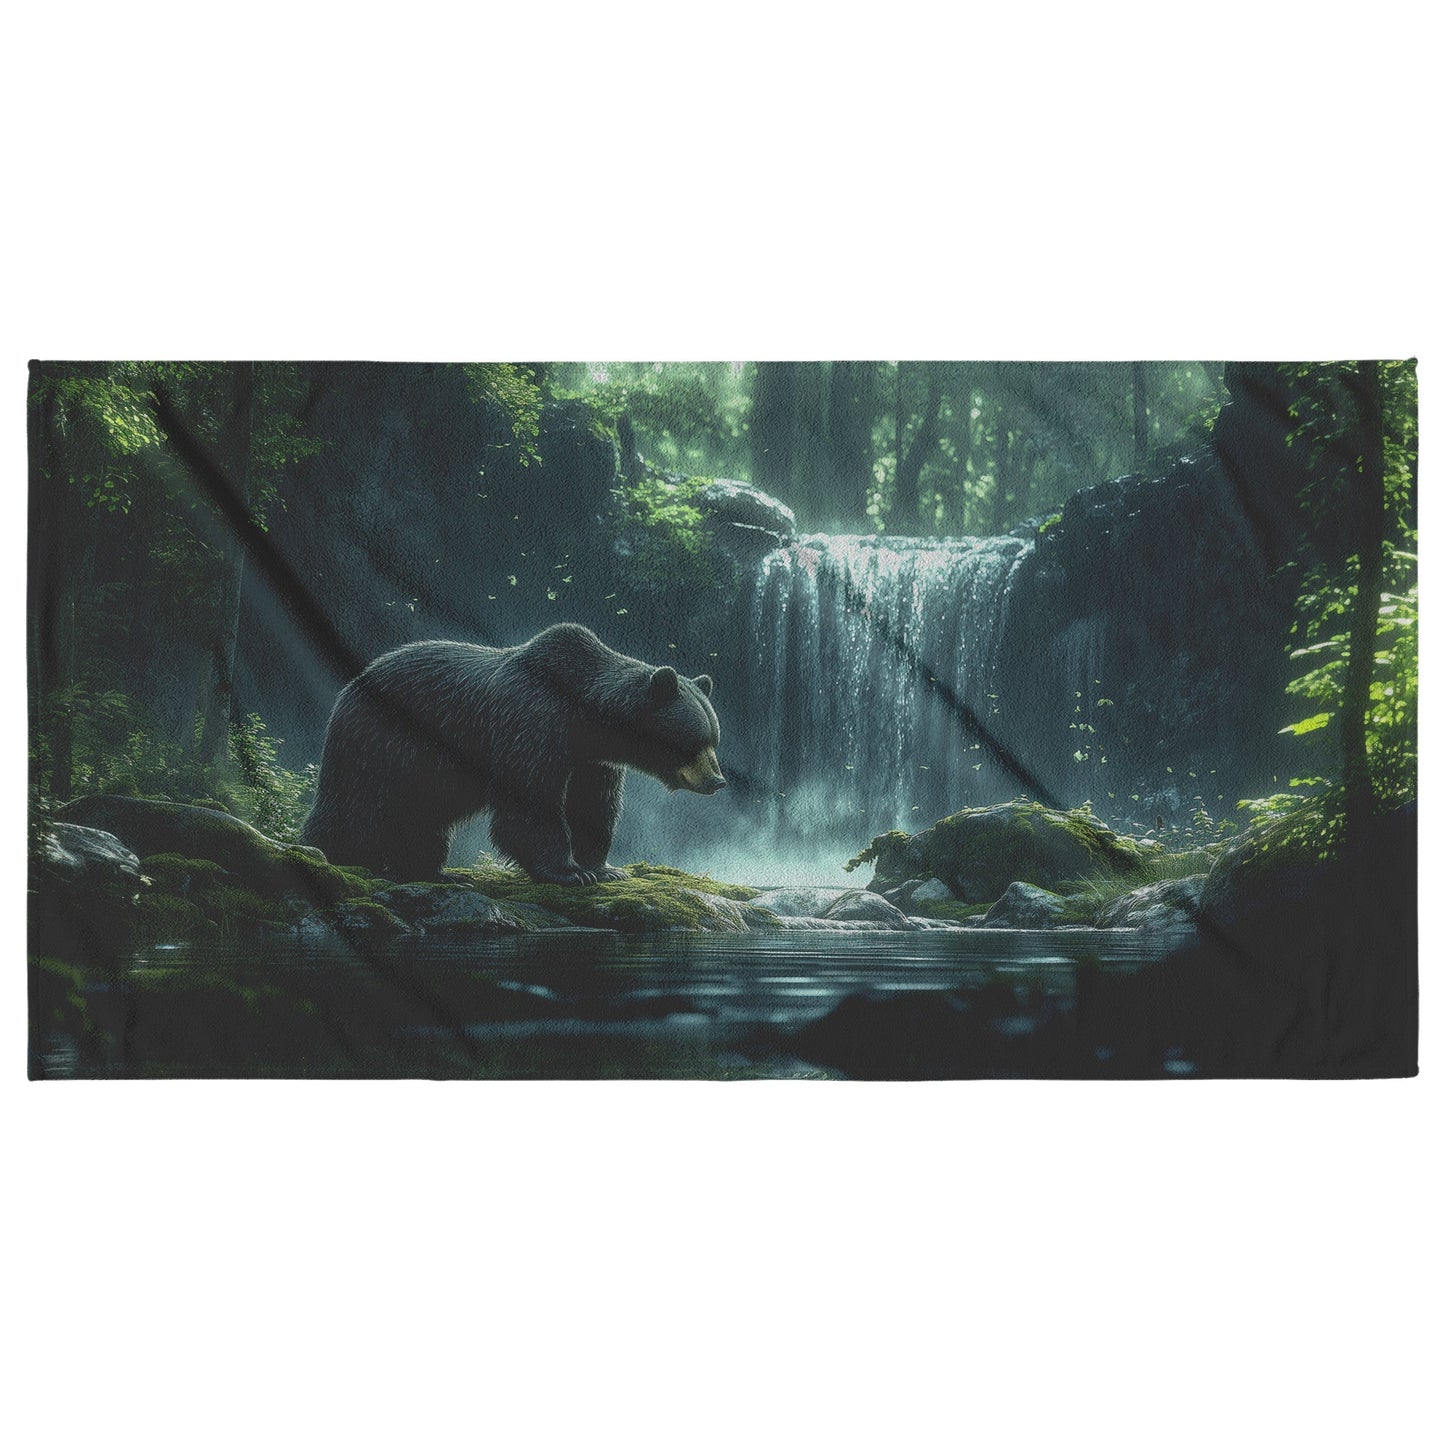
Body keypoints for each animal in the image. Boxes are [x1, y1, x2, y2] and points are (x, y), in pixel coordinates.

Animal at [298, 623, 725, 884]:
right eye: (695, 740)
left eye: (713, 739)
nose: (717, 780)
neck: (585, 717)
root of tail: (351, 685)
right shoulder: (531, 723)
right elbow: (530, 804)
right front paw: (568, 871)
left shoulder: (592, 758)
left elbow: (594, 805)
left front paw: (605, 868)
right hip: (381, 745)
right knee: (357, 806)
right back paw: (335, 855)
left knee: (423, 821)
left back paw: (435, 871)